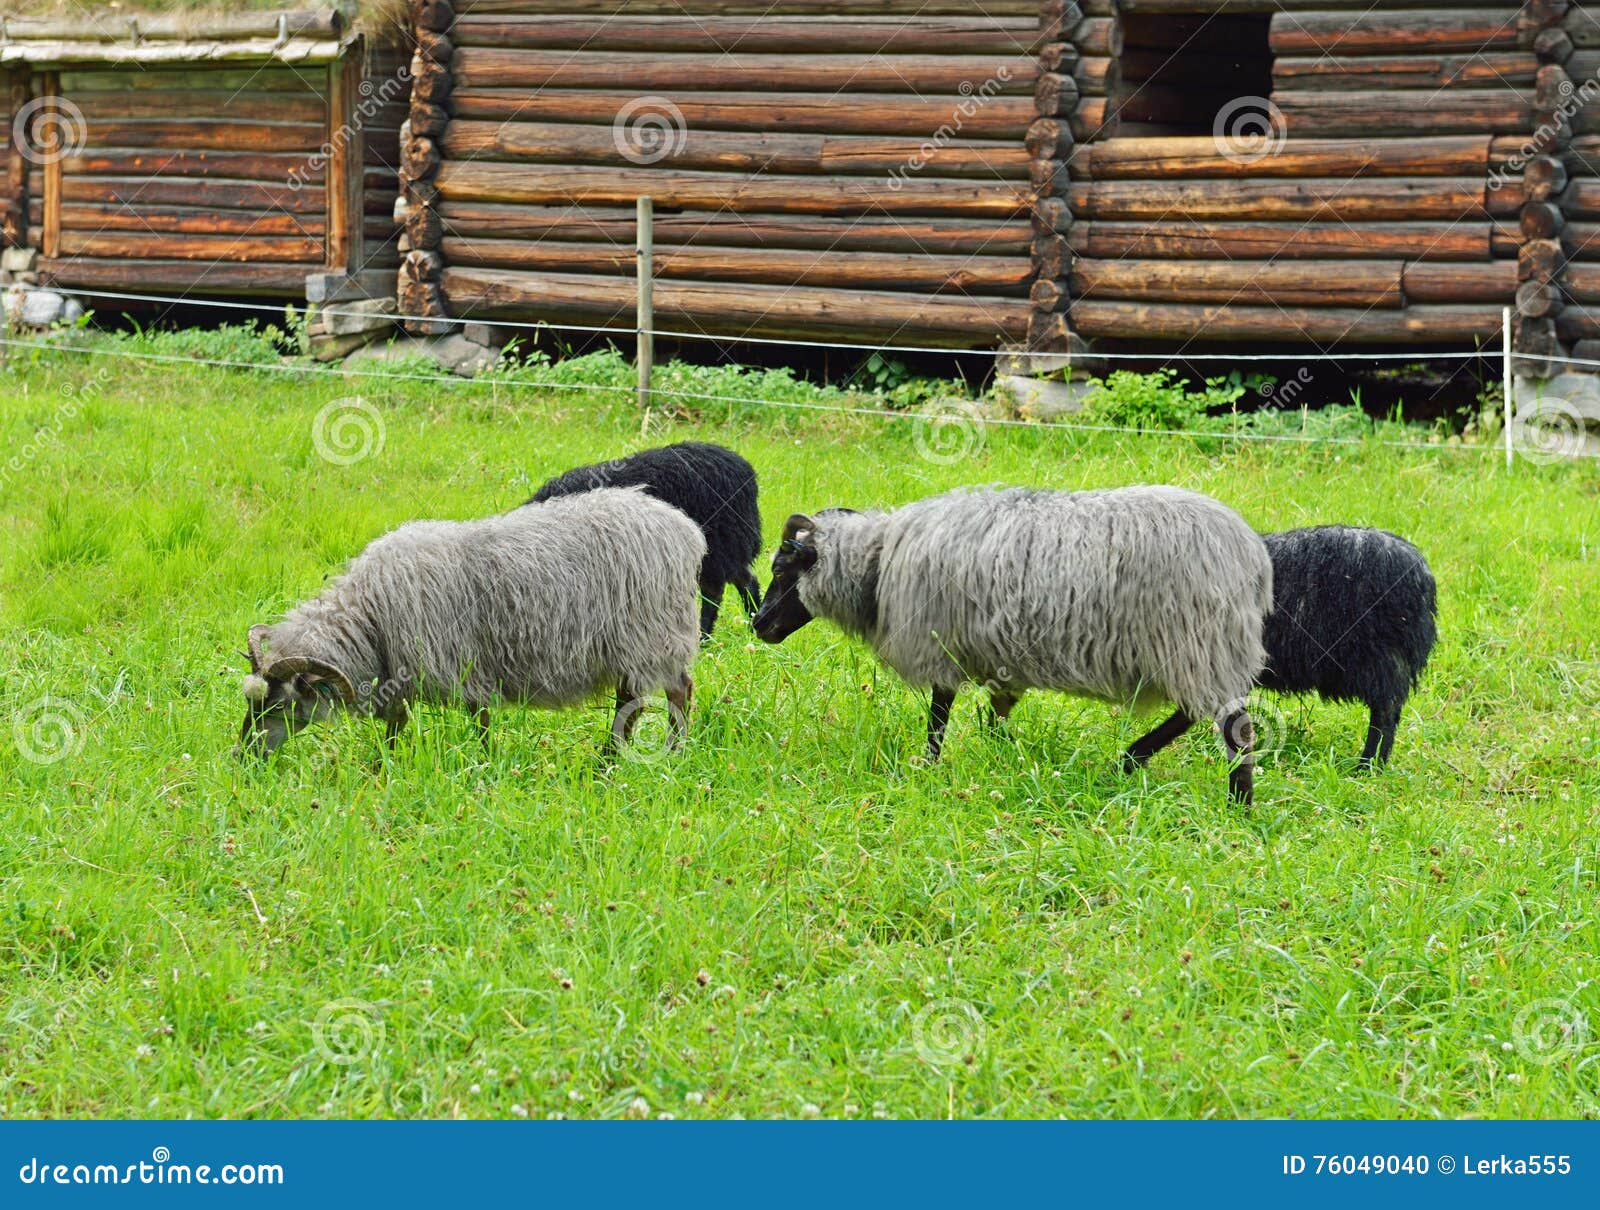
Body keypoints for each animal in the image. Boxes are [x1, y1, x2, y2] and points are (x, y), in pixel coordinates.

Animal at [236, 487, 705, 759]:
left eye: (280, 706)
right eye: (251, 703)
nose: (244, 756)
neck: (369, 620)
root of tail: (684, 530)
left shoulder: (455, 661)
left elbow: (477, 719)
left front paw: (483, 760)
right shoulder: (403, 669)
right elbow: (397, 721)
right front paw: (387, 761)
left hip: (651, 634)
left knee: (675, 692)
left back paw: (664, 753)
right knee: (632, 698)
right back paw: (611, 754)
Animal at [528, 441, 762, 638]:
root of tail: (743, 469)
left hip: (718, 543)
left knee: (715, 591)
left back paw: (705, 636)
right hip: (728, 544)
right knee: (746, 580)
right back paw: (752, 624)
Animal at [751, 485, 1273, 803]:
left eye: (781, 568)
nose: (757, 625)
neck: (880, 564)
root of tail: (1249, 554)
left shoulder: (940, 643)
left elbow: (939, 714)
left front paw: (928, 765)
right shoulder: (999, 656)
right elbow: (997, 711)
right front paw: (1001, 752)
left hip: (1196, 642)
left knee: (1233, 727)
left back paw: (1236, 801)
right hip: (1199, 650)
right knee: (1193, 714)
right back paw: (1132, 759)